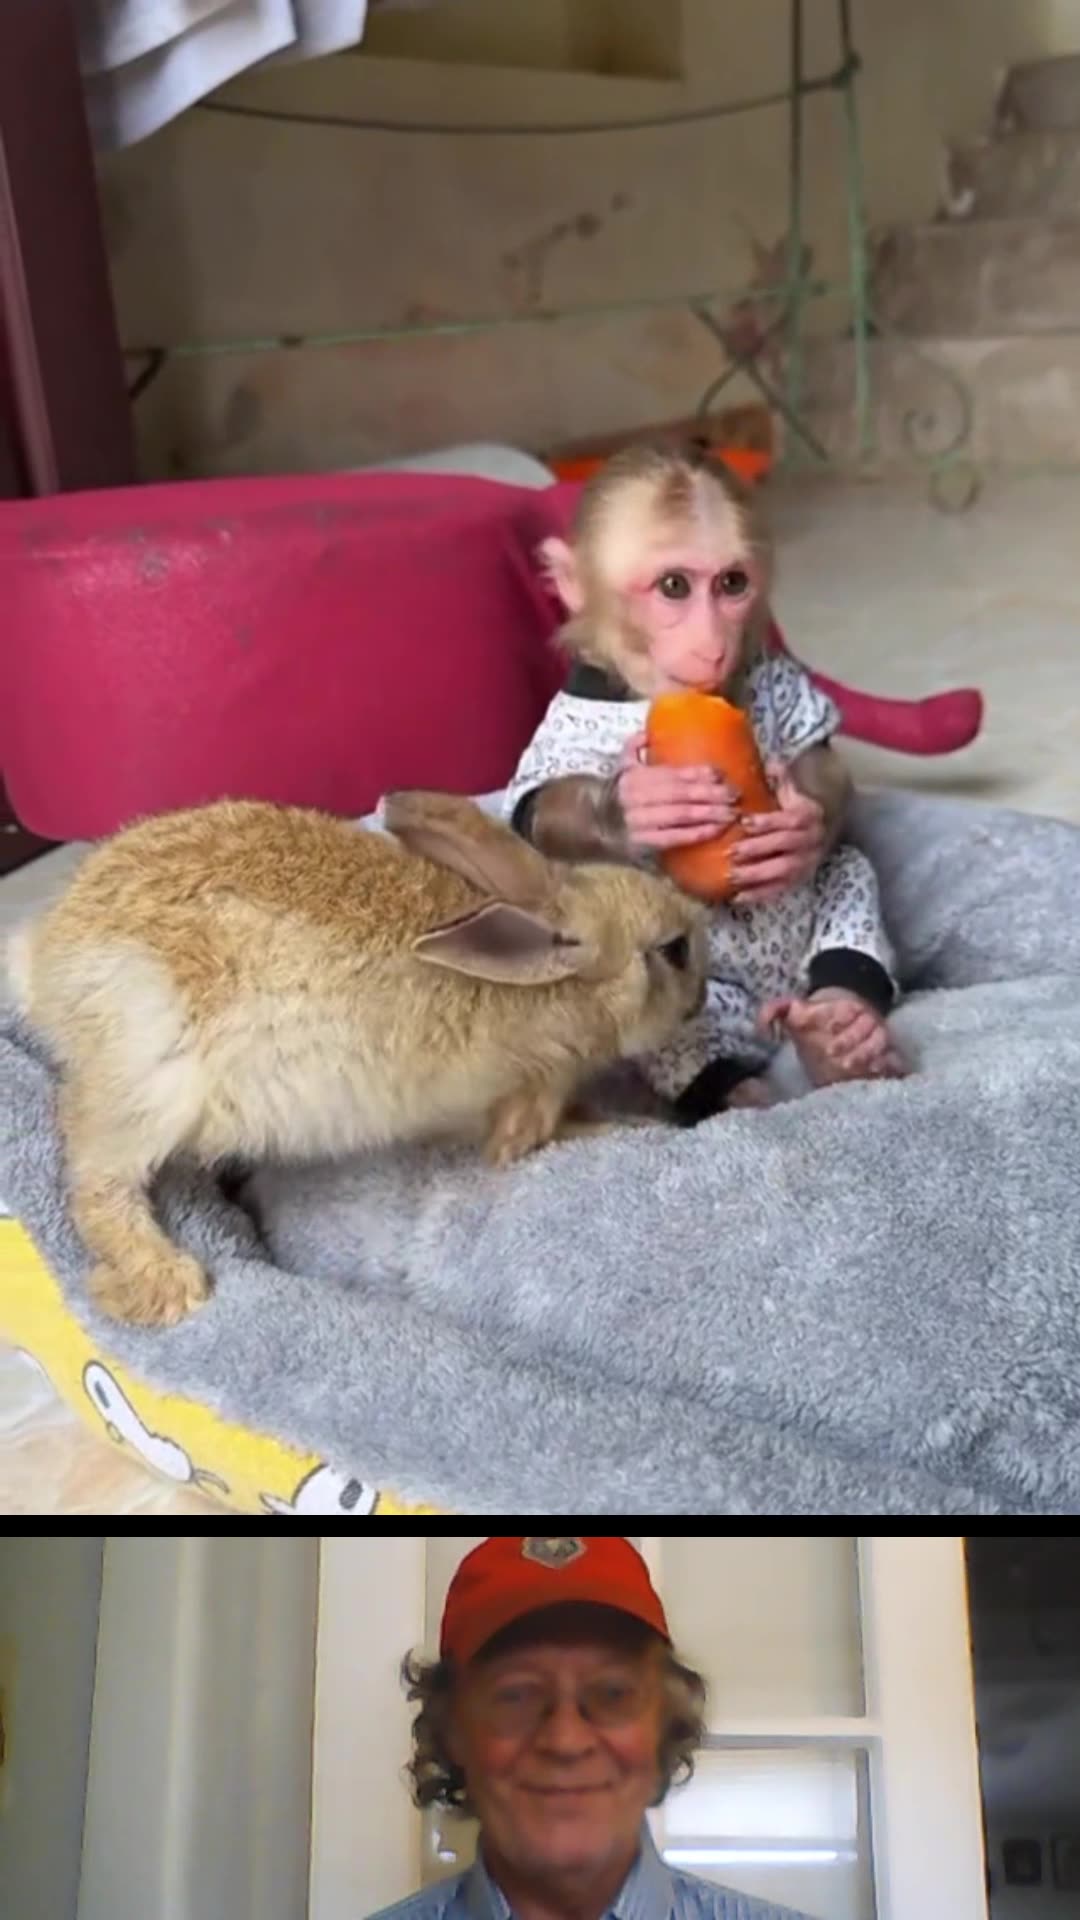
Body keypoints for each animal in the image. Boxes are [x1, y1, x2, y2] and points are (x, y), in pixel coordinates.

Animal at [8, 790, 707, 1329]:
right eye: (674, 951)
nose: (702, 998)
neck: (553, 983)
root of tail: (43, 959)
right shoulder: (527, 1088)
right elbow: (527, 1136)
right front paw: (613, 1128)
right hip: (153, 1075)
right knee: (95, 1175)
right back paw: (166, 1282)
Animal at [504, 441, 907, 1120]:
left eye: (731, 584)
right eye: (674, 587)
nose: (713, 642)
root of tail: (767, 1014)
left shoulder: (777, 674)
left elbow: (819, 764)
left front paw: (800, 827)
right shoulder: (565, 718)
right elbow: (545, 812)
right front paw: (635, 808)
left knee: (849, 878)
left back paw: (840, 1036)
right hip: (689, 990)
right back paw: (729, 1084)